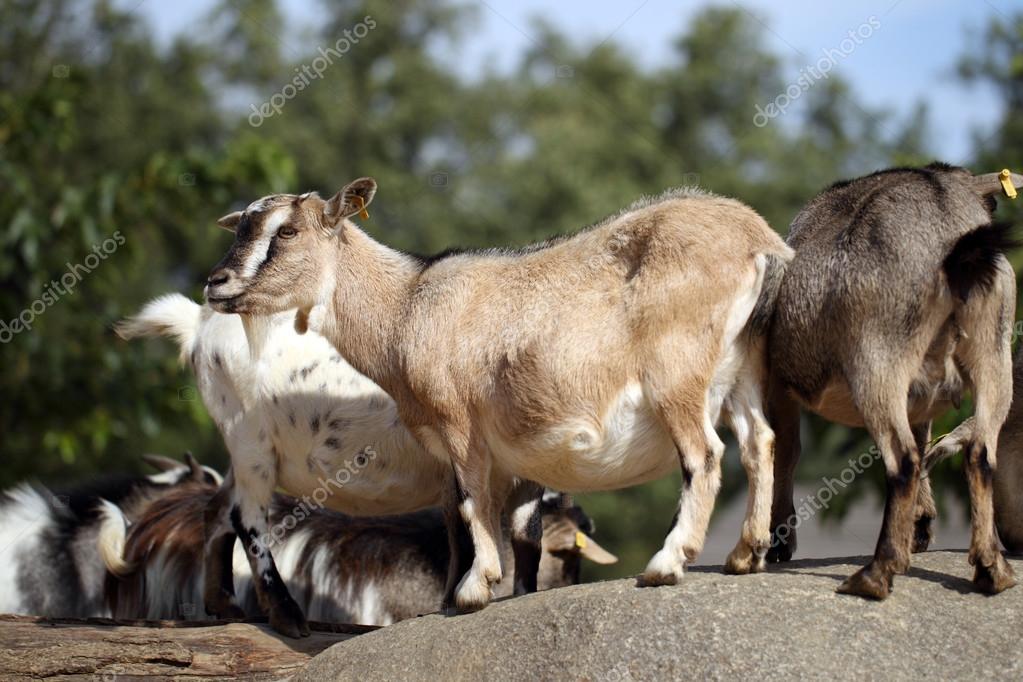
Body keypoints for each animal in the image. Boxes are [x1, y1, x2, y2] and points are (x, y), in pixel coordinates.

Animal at [116, 294, 541, 636]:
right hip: (249, 439)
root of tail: (199, 323)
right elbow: (467, 531)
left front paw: (516, 596)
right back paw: (286, 615)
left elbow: (524, 534)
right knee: (245, 517)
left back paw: (224, 604)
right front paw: (461, 602)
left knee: (217, 508)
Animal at [204, 179, 793, 611]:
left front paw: (472, 590)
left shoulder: (460, 425)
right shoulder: (514, 452)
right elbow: (512, 525)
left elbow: (471, 505)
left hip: (679, 373)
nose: (216, 283)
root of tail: (761, 243)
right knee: (760, 442)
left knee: (706, 454)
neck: (405, 308)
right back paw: (746, 553)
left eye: (288, 231)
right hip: (742, 369)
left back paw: (666, 565)